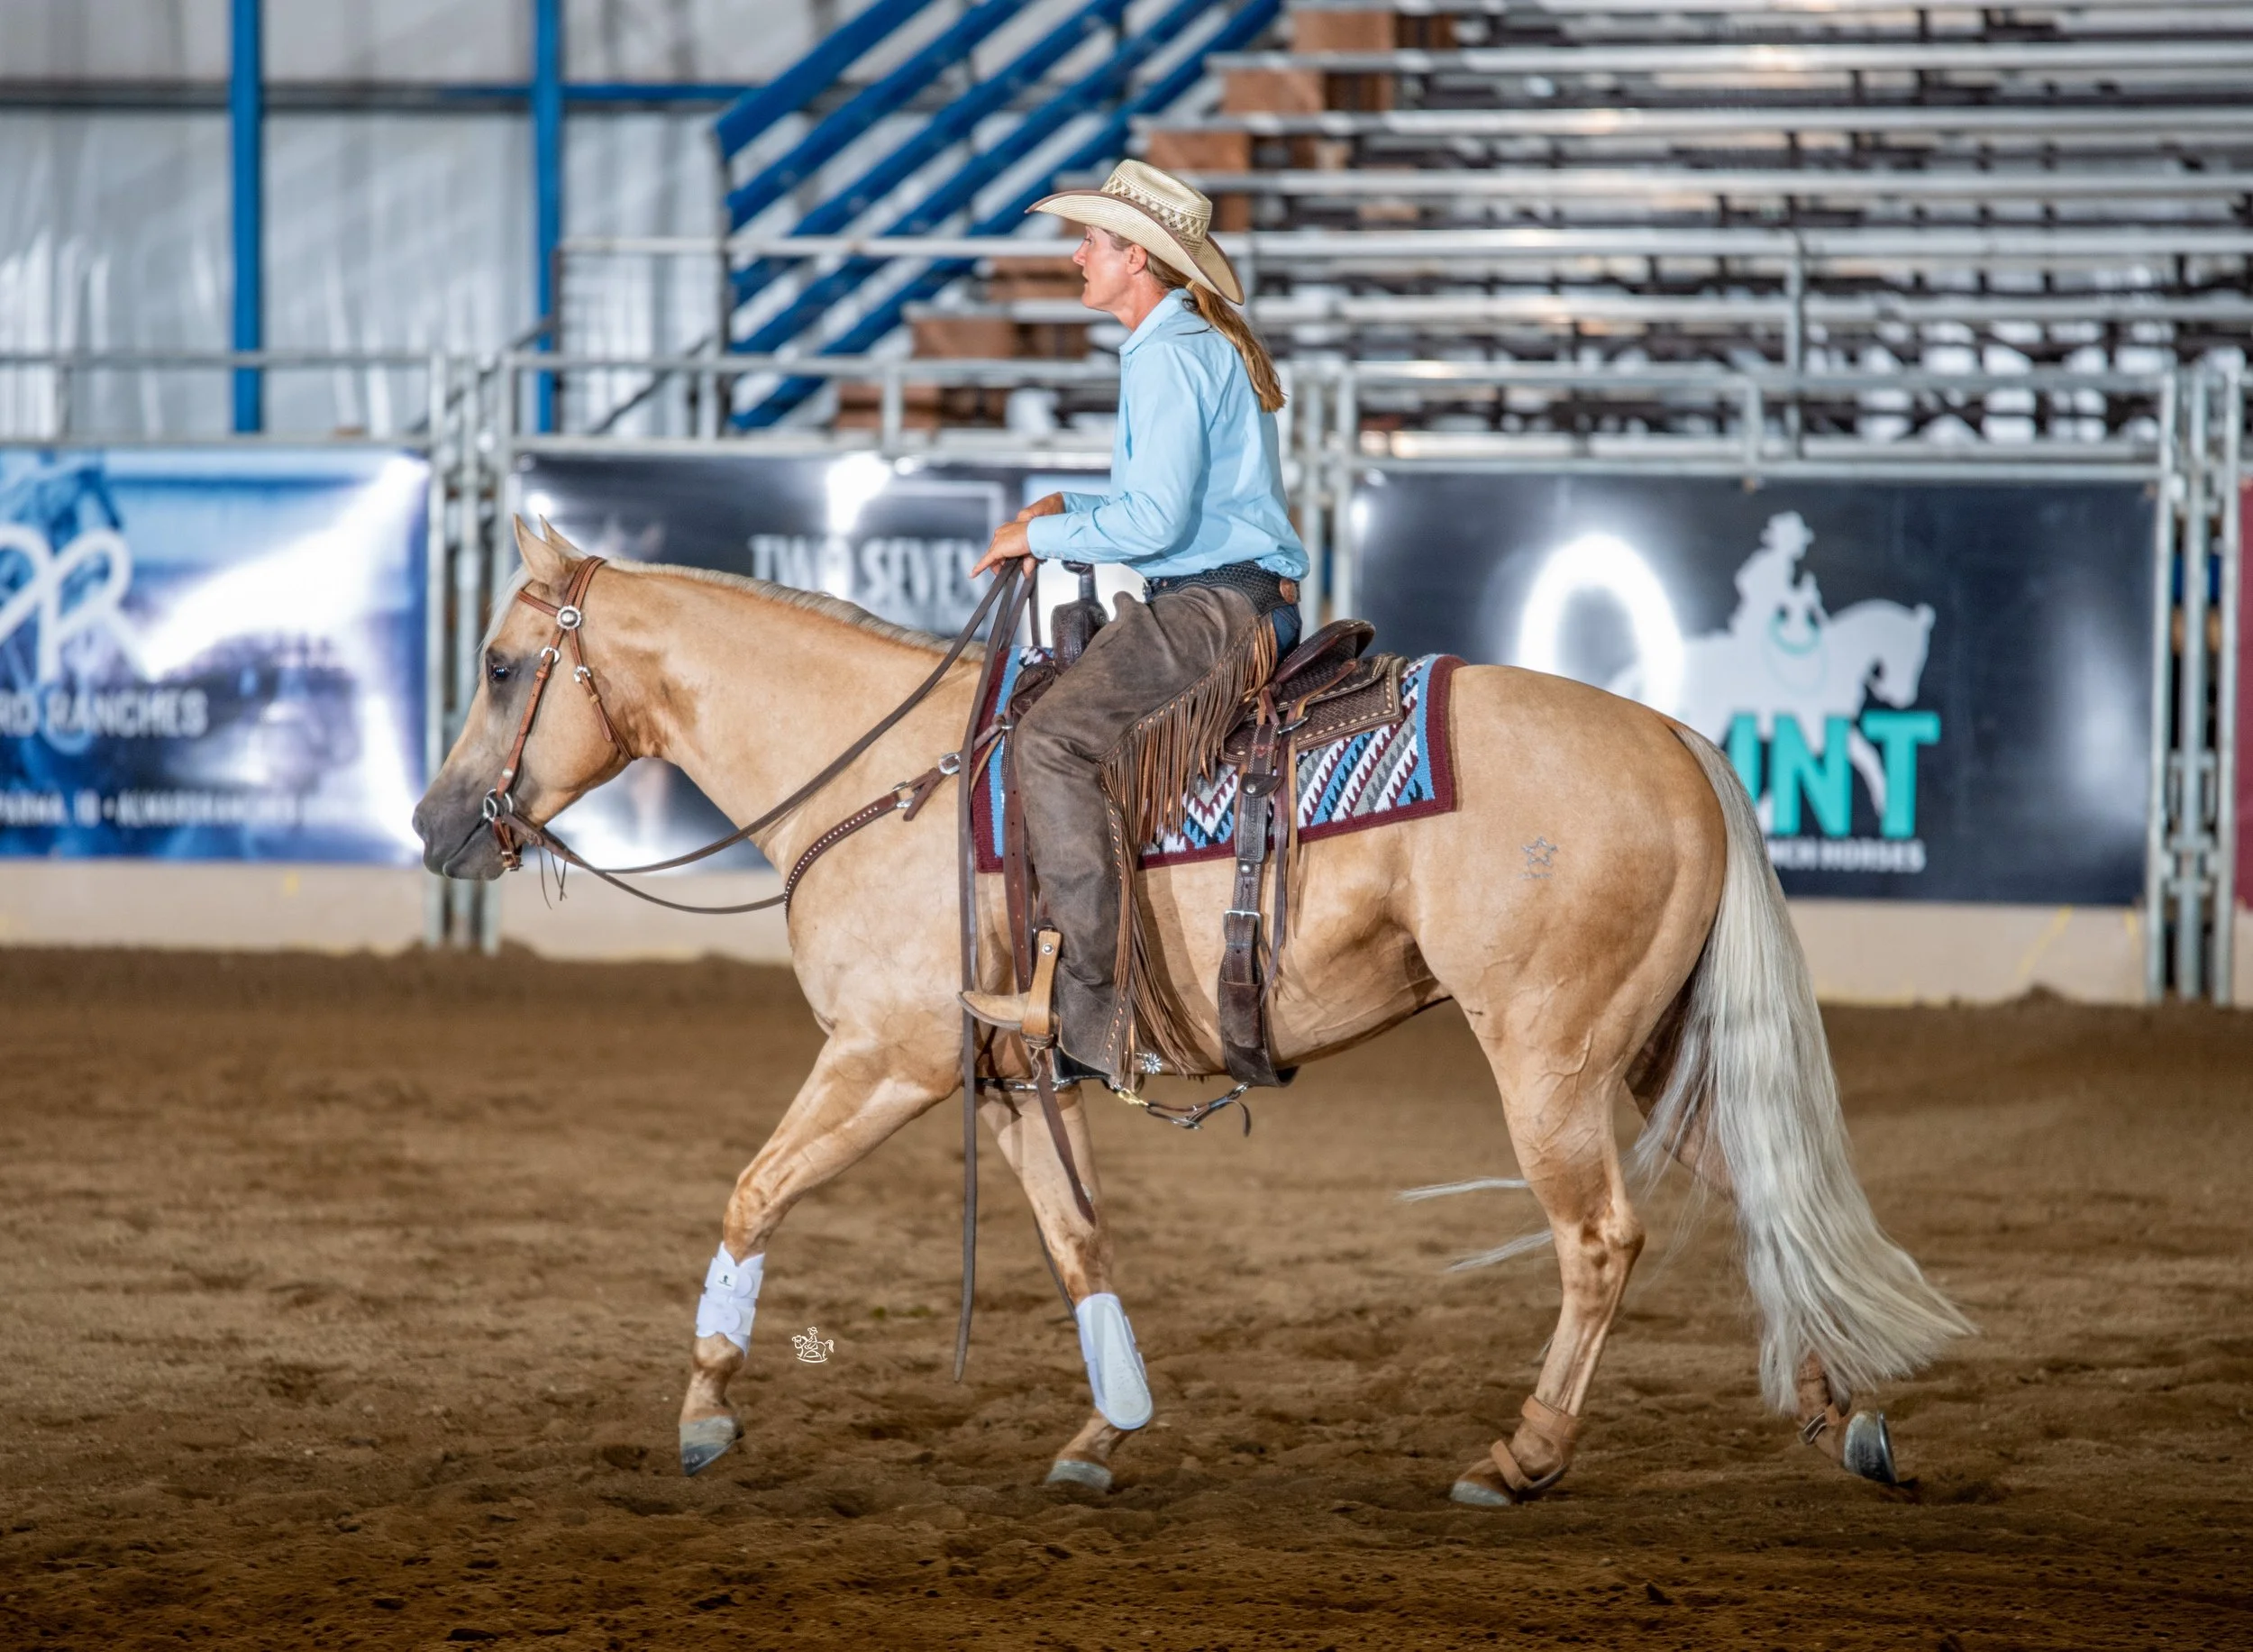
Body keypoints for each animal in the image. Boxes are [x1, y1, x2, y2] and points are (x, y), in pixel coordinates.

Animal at [412, 518, 1968, 1504]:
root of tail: (1682, 742)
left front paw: (705, 1413)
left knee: (1601, 1240)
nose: (434, 826)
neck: (891, 780)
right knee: (1760, 1205)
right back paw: (1848, 1421)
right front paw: (1105, 1433)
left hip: (1551, 1057)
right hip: (1653, 1049)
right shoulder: (1013, 1078)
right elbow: (1080, 1243)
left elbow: (751, 1191)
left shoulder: (886, 1058)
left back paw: (1521, 1457)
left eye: (498, 667)